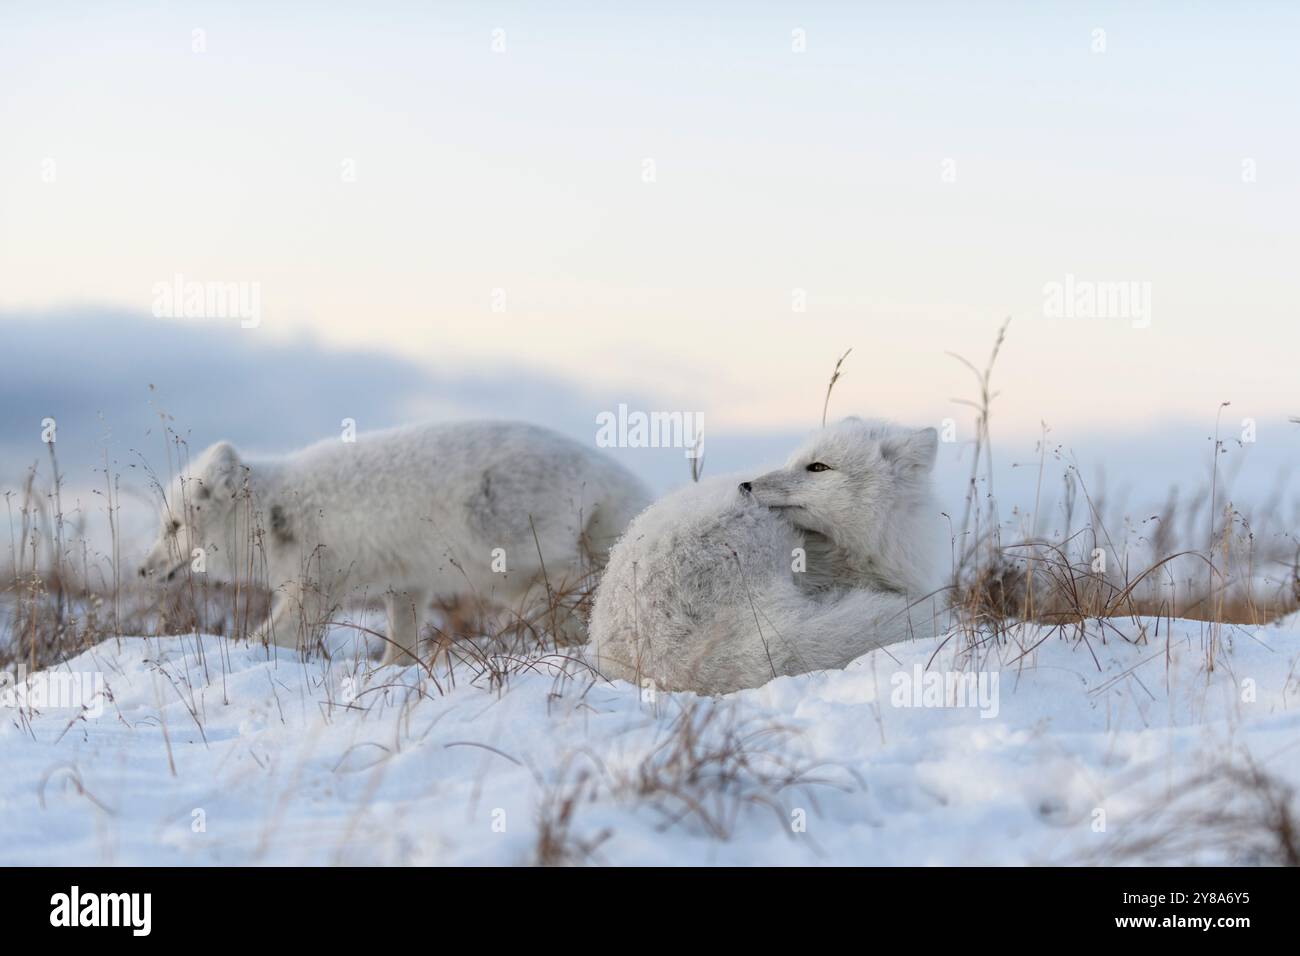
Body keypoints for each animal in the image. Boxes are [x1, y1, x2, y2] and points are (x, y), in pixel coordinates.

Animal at [138, 421, 651, 665]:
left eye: (173, 526)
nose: (143, 569)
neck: (271, 512)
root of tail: (603, 467)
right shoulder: (405, 584)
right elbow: (402, 640)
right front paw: (394, 672)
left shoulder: (311, 588)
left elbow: (269, 636)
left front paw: (243, 656)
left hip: (509, 560)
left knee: (568, 582)